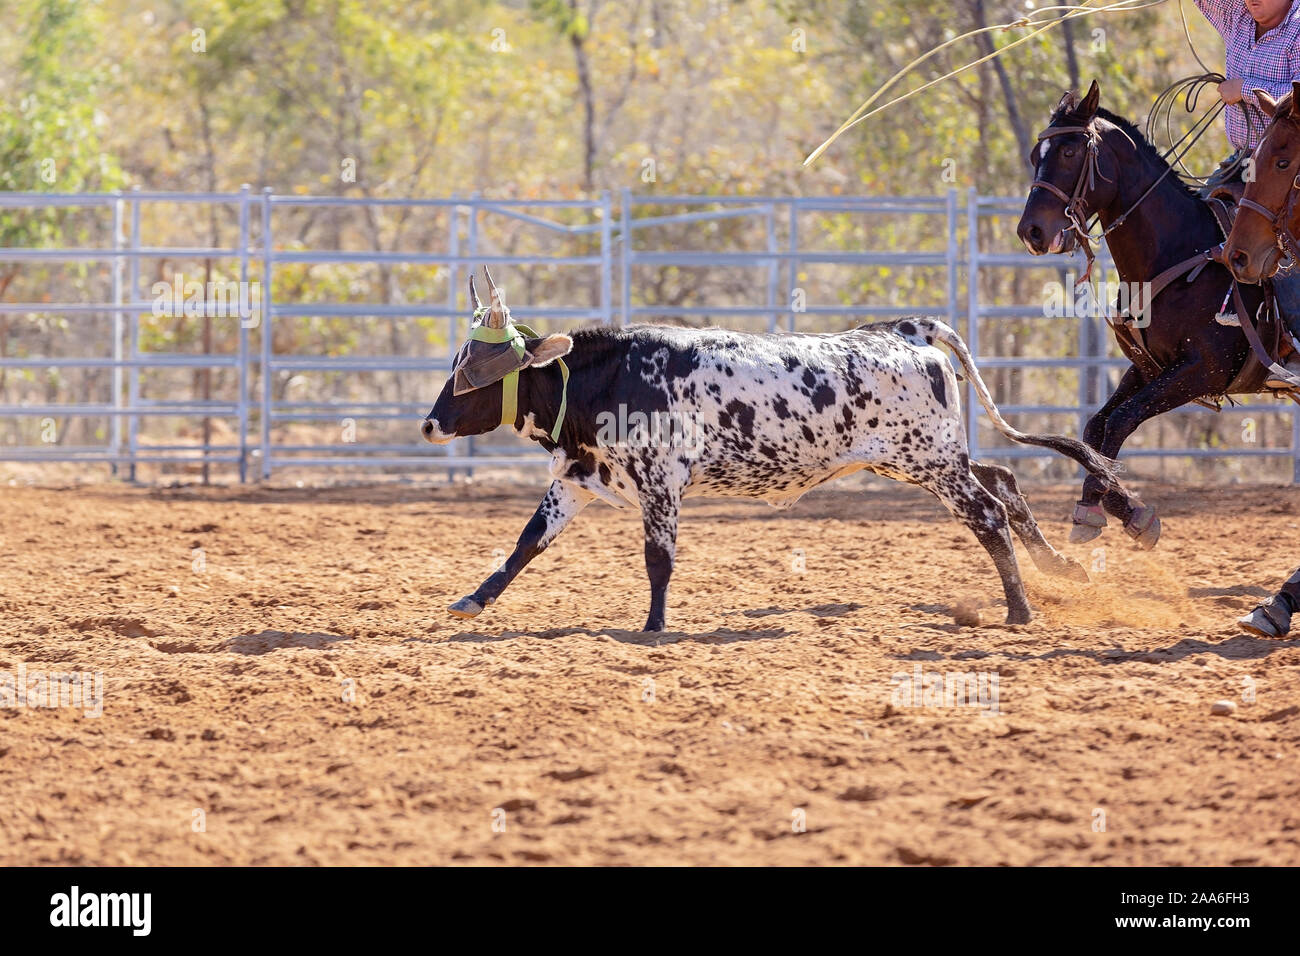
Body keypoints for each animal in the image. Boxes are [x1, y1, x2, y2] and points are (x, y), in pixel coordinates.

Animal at [422, 269, 1128, 632]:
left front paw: (653, 627)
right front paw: (473, 599)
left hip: (927, 460)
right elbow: (526, 543)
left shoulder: (662, 485)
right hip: (921, 459)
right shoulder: (574, 479)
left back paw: (1019, 609)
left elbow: (658, 561)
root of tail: (906, 332)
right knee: (1003, 480)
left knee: (987, 513)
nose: (430, 425)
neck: (613, 376)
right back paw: (1057, 569)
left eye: (473, 372)